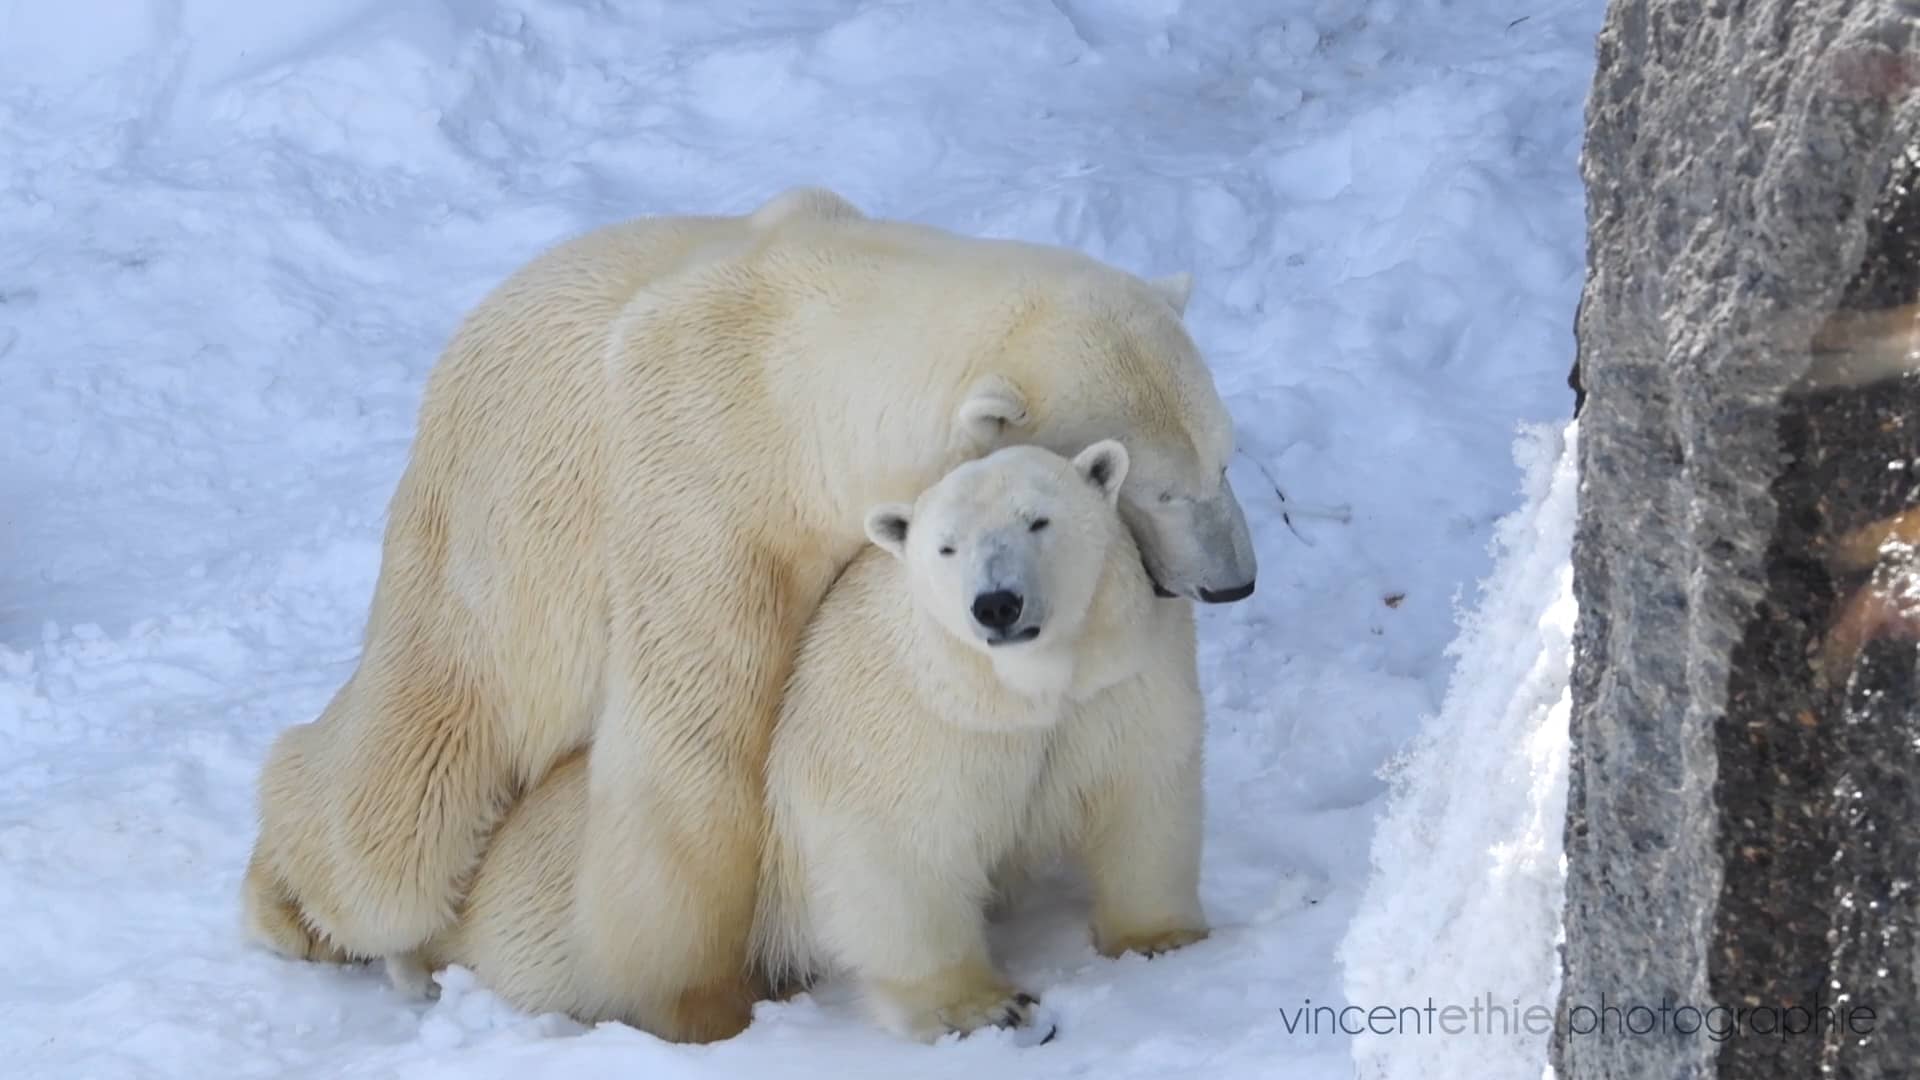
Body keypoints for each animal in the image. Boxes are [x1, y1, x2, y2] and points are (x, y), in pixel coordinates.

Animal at [382, 442, 1209, 1042]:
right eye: (946, 548)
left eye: (1038, 520)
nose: (997, 603)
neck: (1014, 690)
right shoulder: (906, 720)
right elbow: (895, 856)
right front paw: (988, 1007)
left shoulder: (1117, 684)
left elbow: (1145, 796)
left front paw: (1163, 939)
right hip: (559, 904)